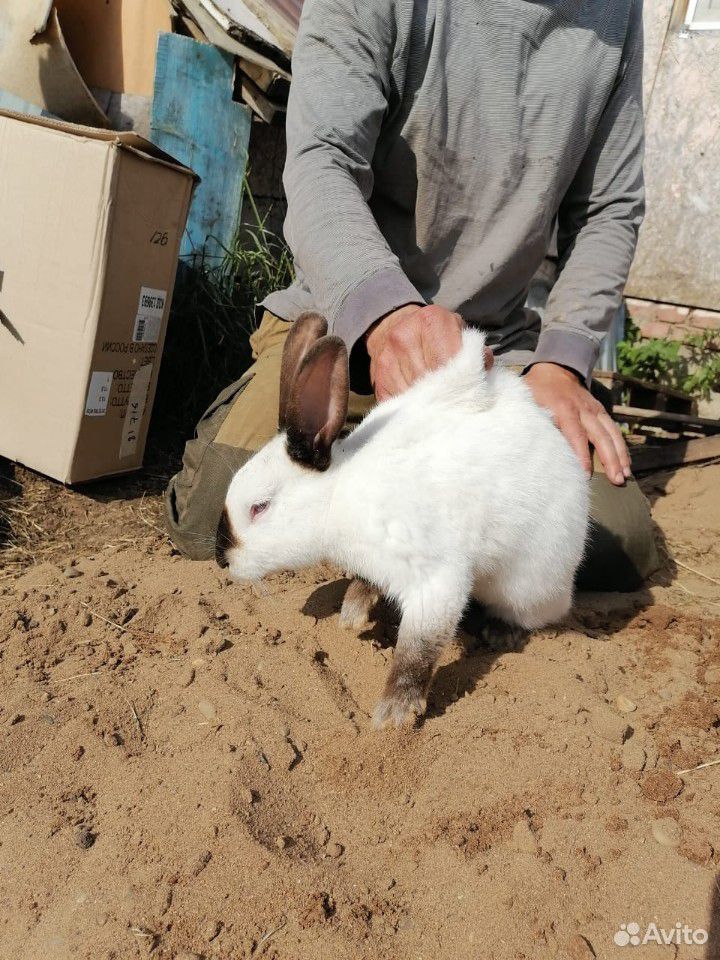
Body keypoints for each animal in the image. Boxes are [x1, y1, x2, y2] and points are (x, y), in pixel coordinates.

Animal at [218, 312, 590, 728]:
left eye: (259, 507)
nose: (222, 559)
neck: (338, 494)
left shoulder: (435, 580)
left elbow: (416, 651)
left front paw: (394, 715)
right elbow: (366, 582)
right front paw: (352, 615)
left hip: (528, 585)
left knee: (534, 614)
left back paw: (500, 633)